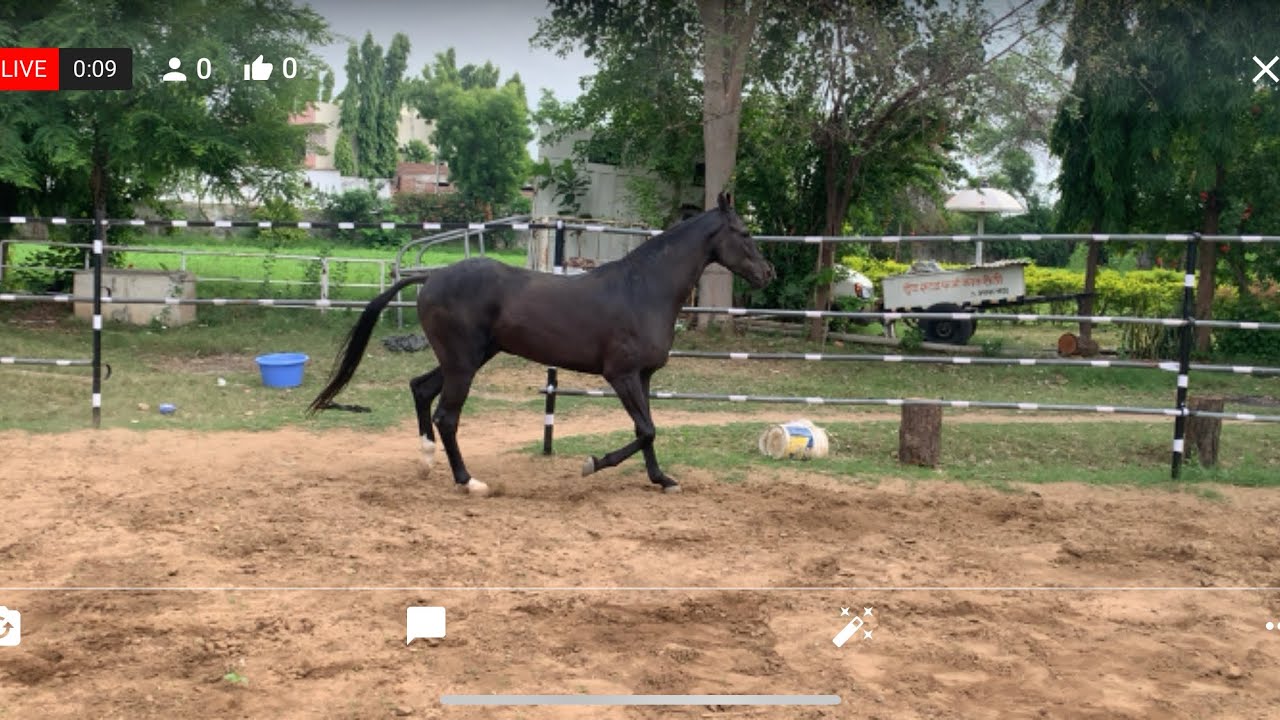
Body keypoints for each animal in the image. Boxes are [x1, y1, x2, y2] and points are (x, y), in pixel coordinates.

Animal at [308, 192, 774, 496]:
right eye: (744, 232)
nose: (768, 274)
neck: (643, 290)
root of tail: (431, 277)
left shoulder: (641, 377)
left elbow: (648, 431)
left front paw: (662, 480)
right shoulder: (620, 375)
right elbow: (646, 429)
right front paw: (592, 464)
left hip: (467, 359)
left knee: (421, 390)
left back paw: (427, 461)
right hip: (463, 363)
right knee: (446, 416)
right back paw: (468, 481)